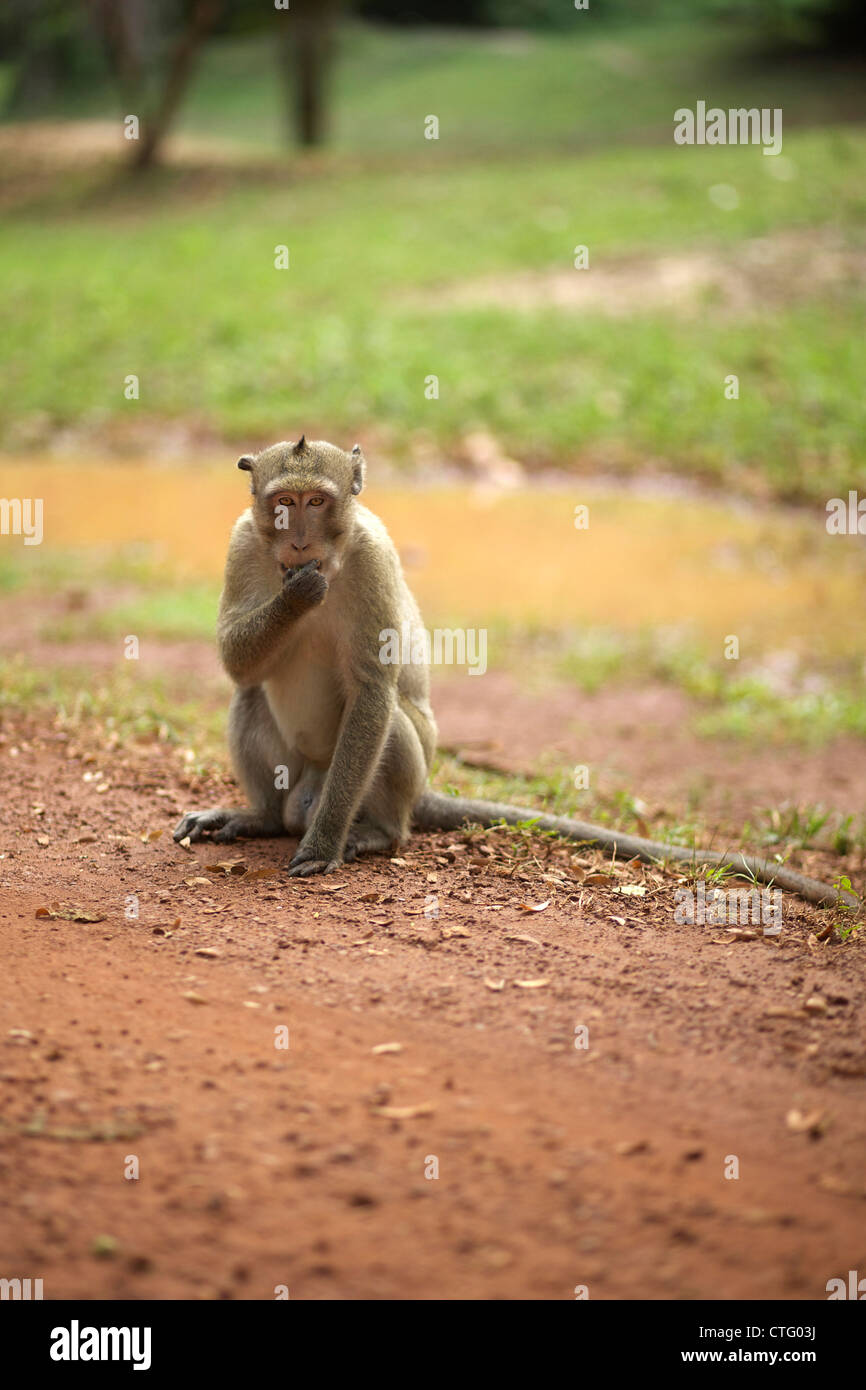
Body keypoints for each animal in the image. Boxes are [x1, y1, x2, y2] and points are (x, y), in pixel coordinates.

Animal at [175, 438, 853, 908]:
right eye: (281, 505)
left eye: (317, 502)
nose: (298, 544)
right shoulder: (243, 541)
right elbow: (235, 656)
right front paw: (296, 596)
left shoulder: (371, 556)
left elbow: (372, 689)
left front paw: (322, 847)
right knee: (249, 694)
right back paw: (262, 818)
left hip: (376, 778)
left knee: (392, 721)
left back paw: (375, 833)